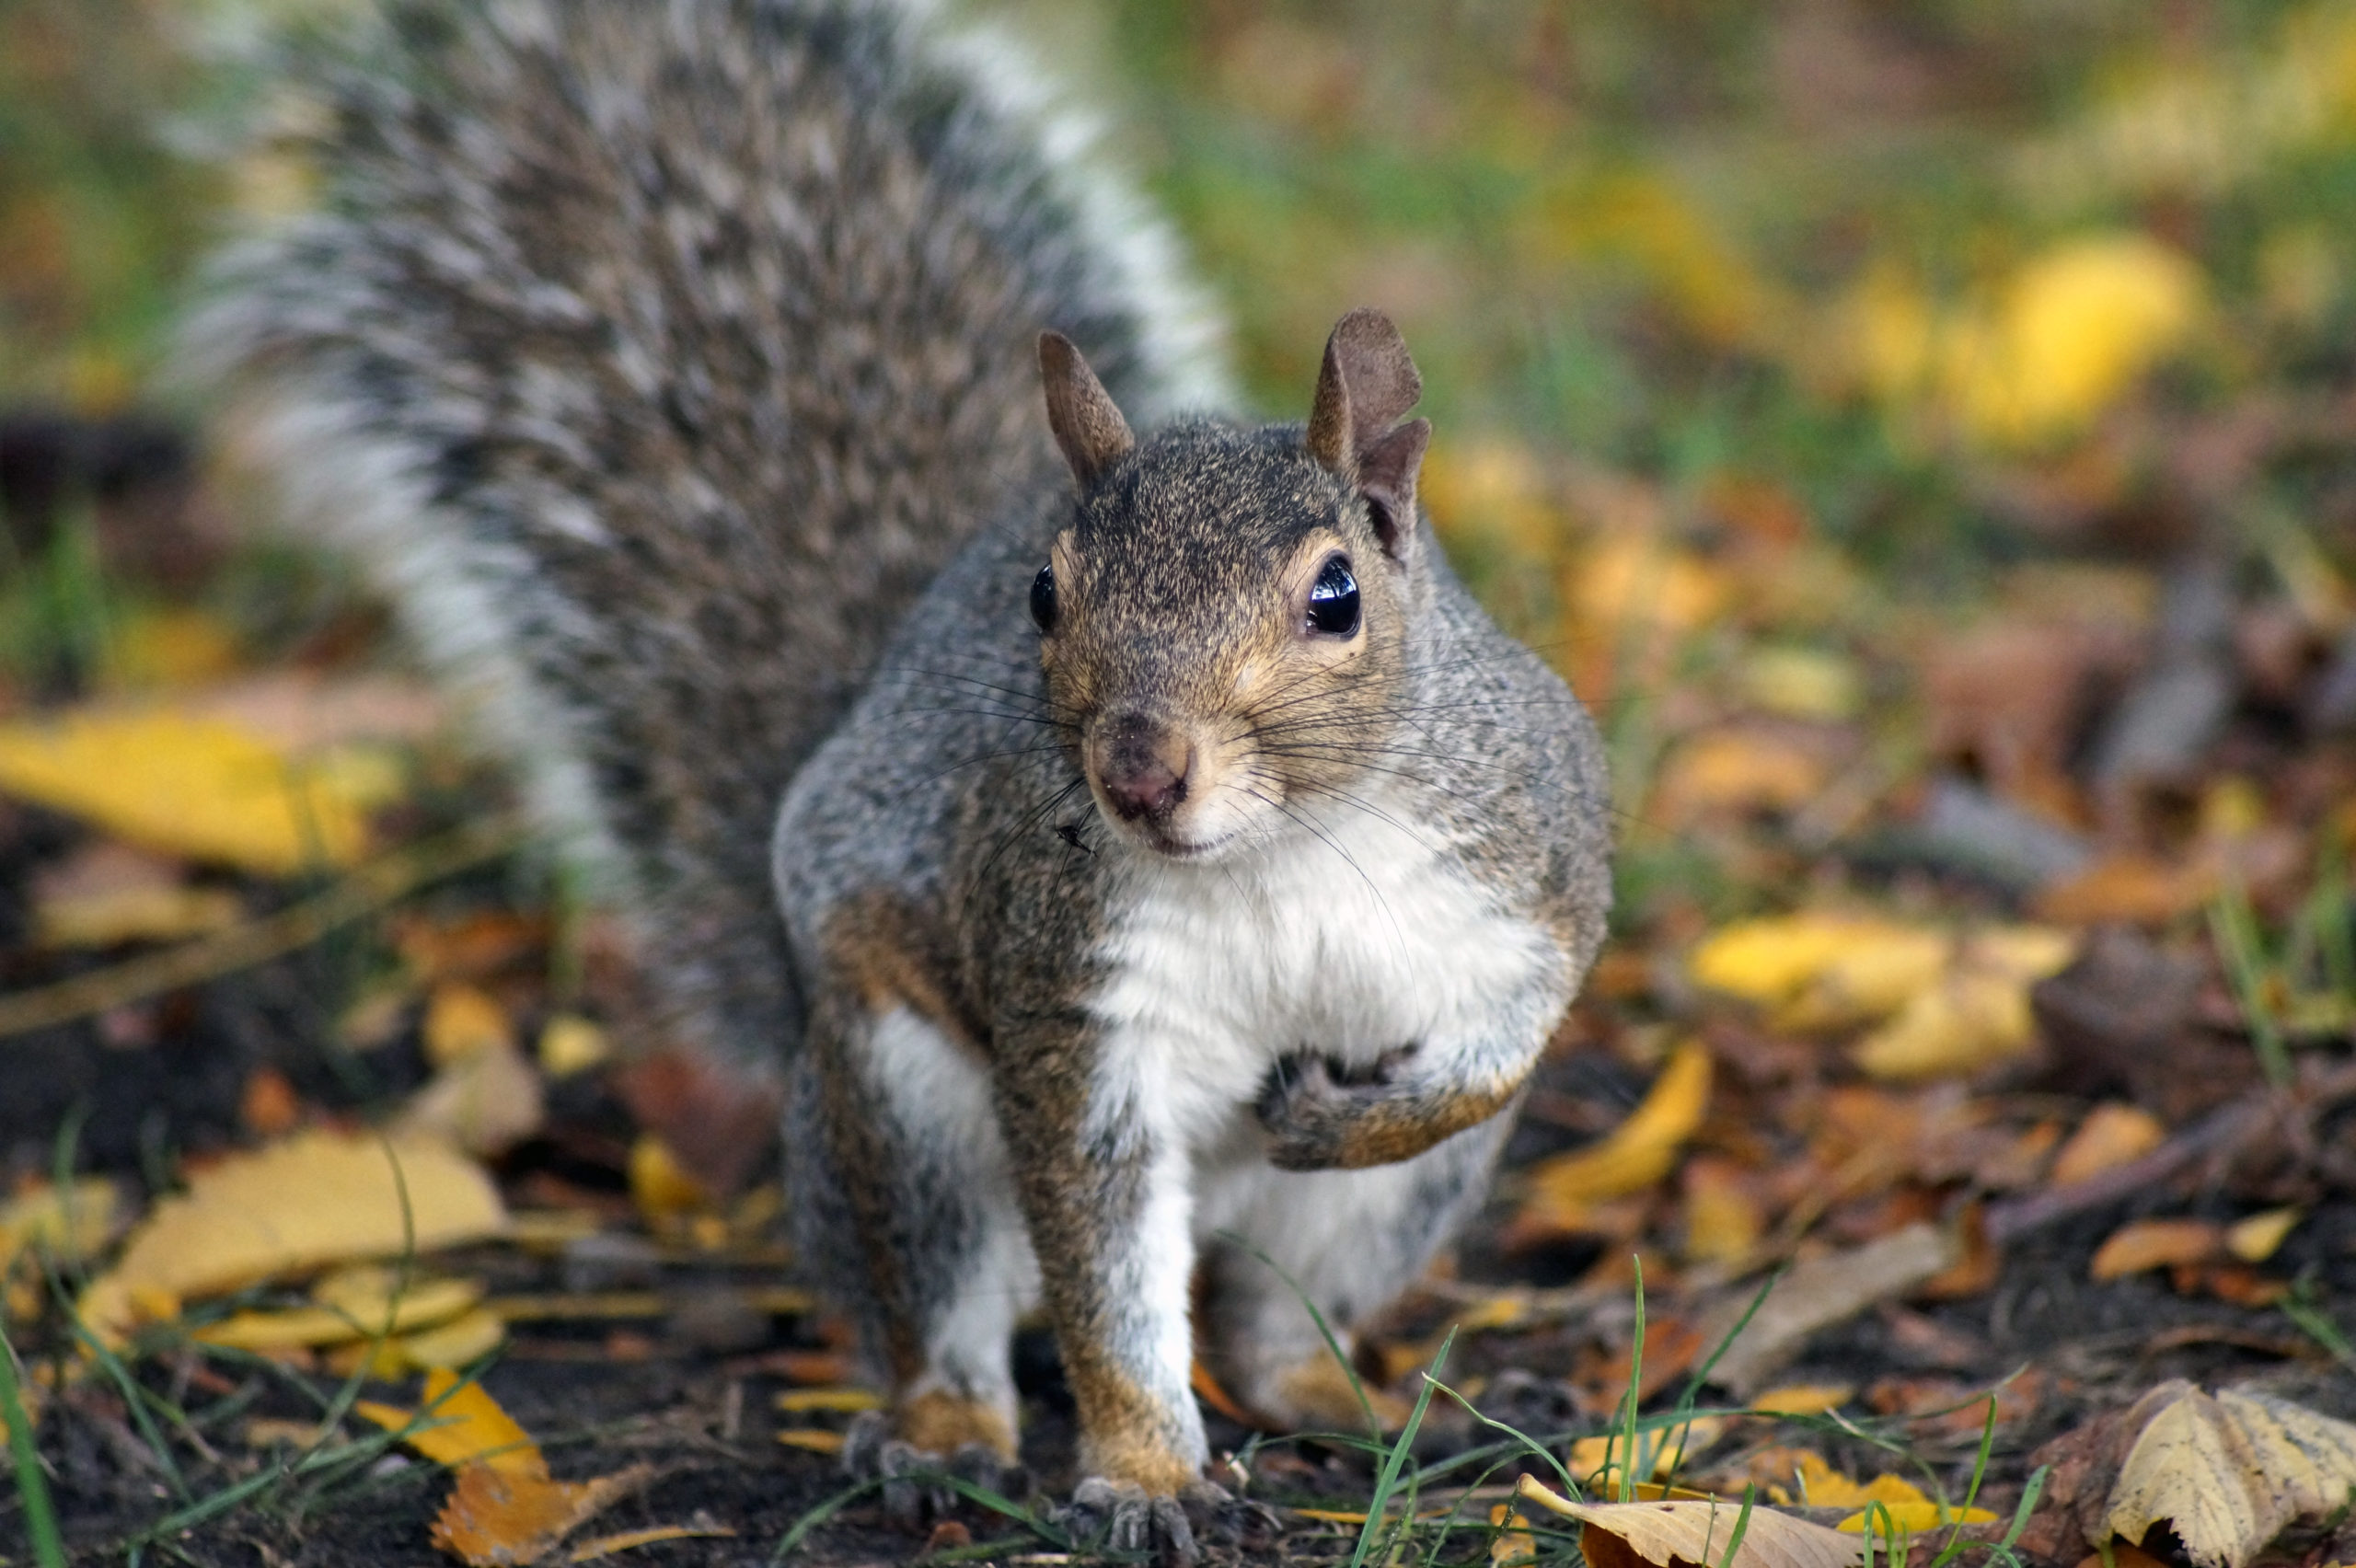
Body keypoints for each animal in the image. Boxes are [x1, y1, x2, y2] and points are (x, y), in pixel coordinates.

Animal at [193, 0, 1612, 1553]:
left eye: (1338, 597)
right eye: (1044, 597)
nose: (1137, 773)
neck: (1281, 852)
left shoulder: (1525, 869)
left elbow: (1505, 1046)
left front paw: (1344, 1113)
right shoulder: (1074, 1005)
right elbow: (1104, 1277)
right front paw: (1147, 1473)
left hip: (1384, 1216)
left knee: (1271, 1317)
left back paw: (1336, 1394)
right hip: (900, 1104)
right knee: (946, 1312)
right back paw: (940, 1432)